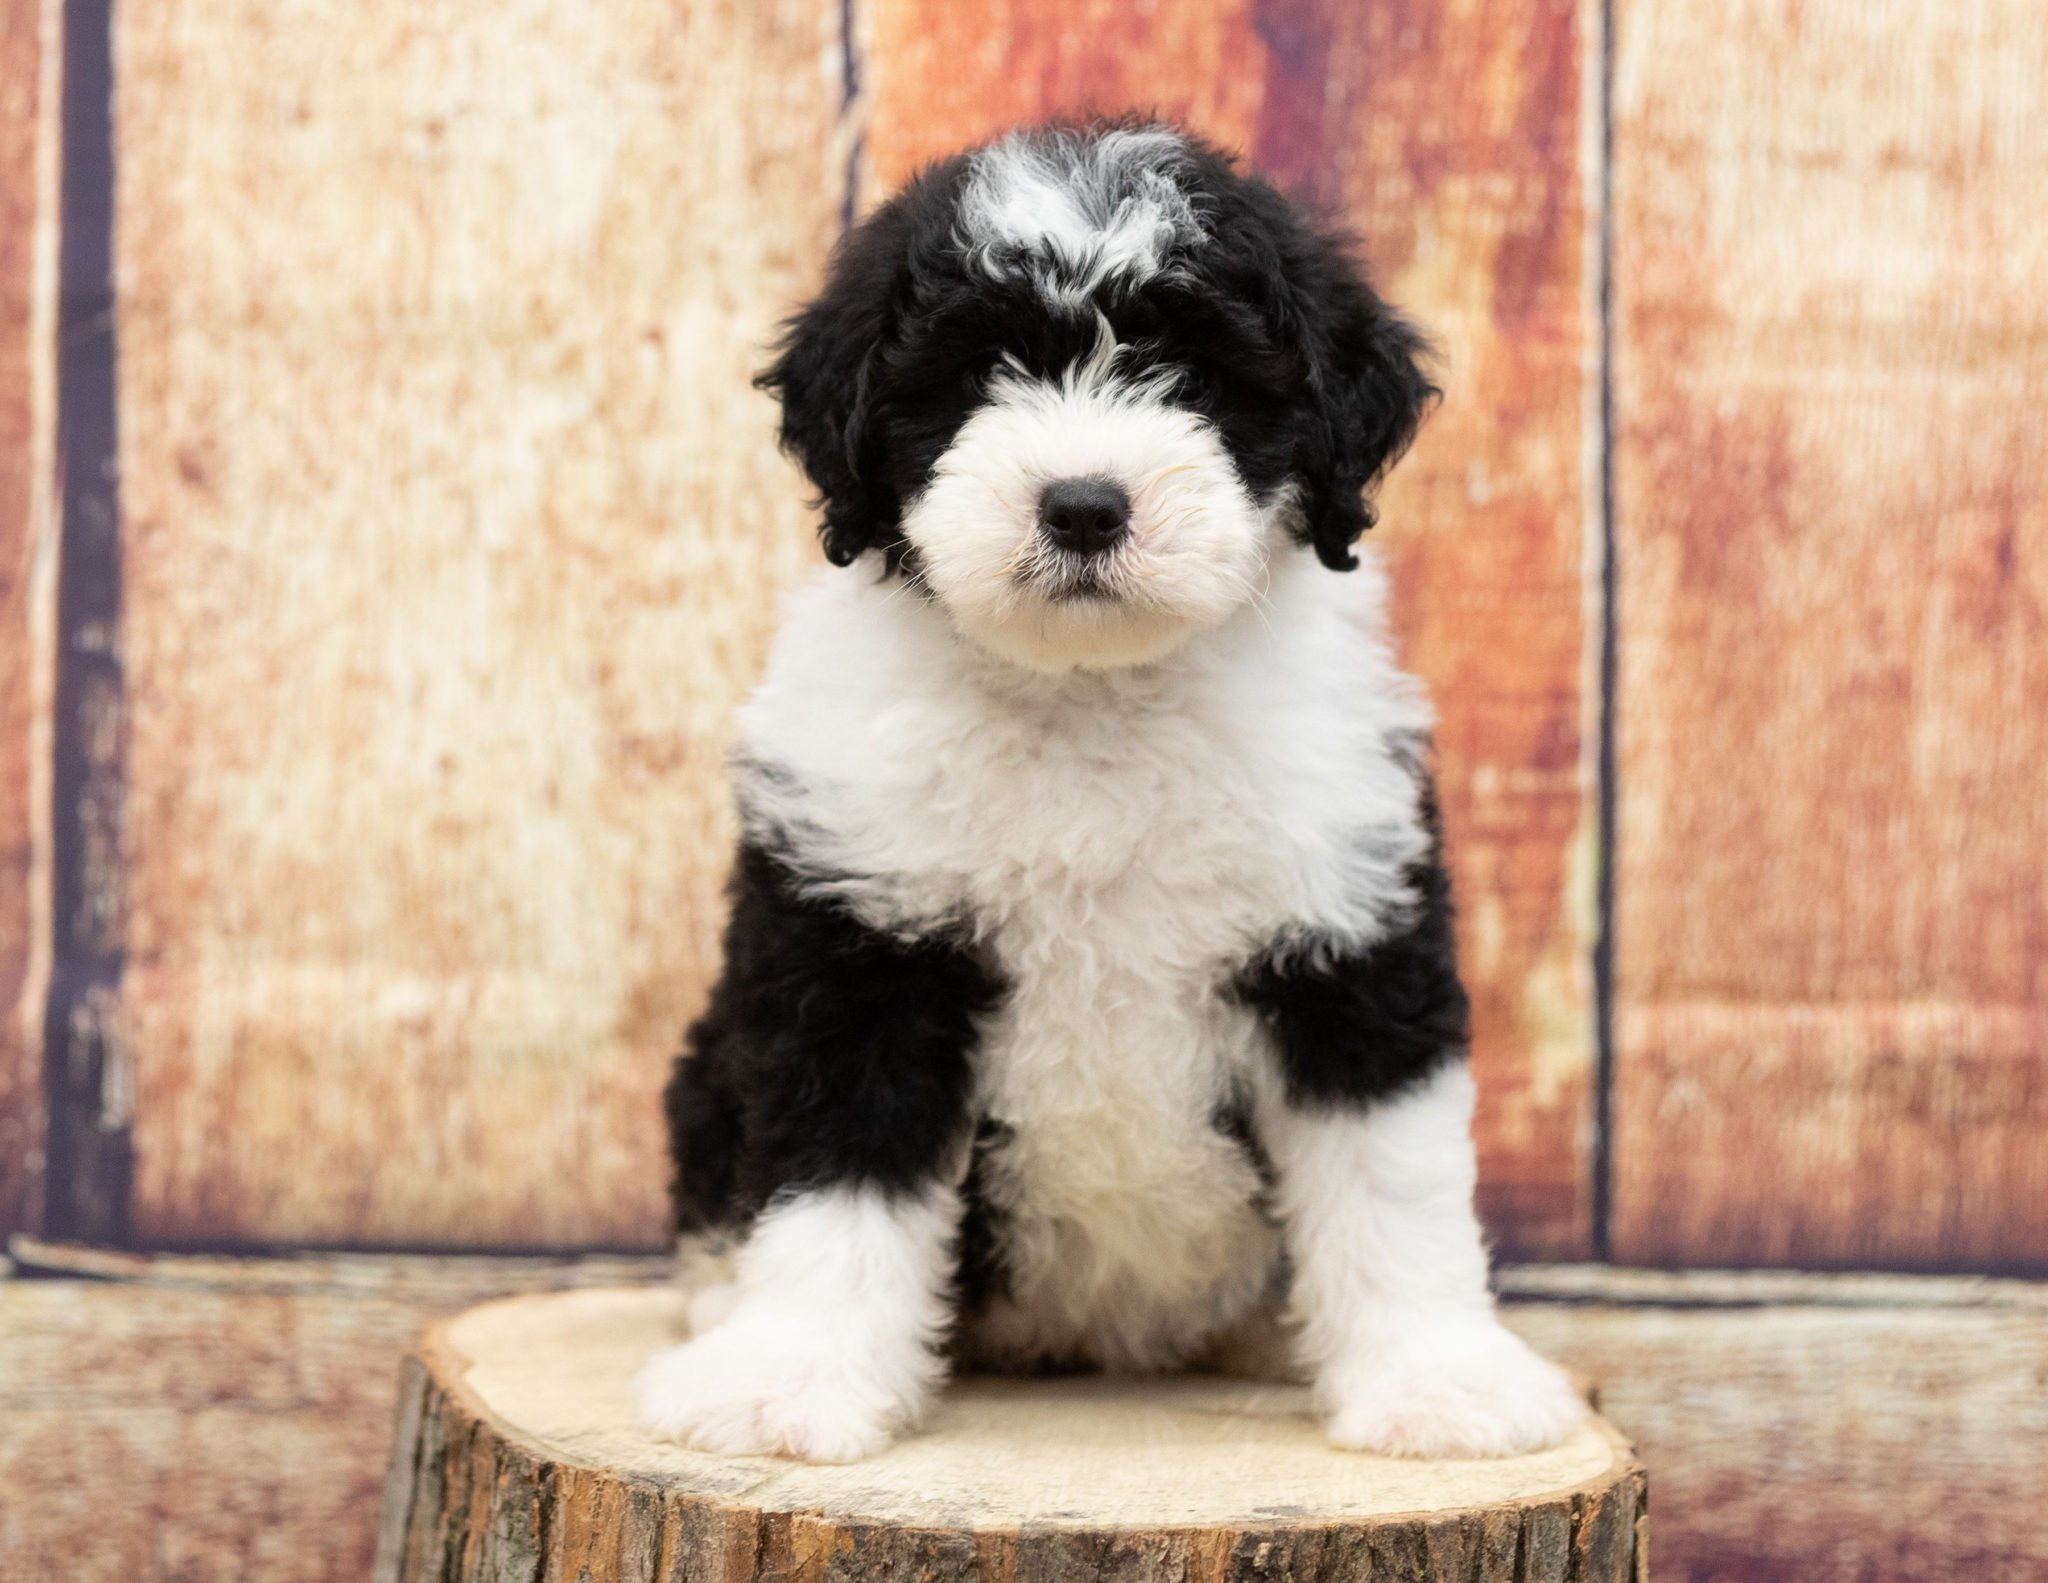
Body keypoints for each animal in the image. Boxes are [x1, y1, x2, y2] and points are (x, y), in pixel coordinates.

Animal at [638, 120, 1581, 1458]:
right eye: (974, 371)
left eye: (1191, 370)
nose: (1083, 506)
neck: (1092, 696)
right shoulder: (856, 934)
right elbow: (836, 1170)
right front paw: (787, 1380)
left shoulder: (1346, 941)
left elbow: (1388, 1175)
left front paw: (1438, 1382)